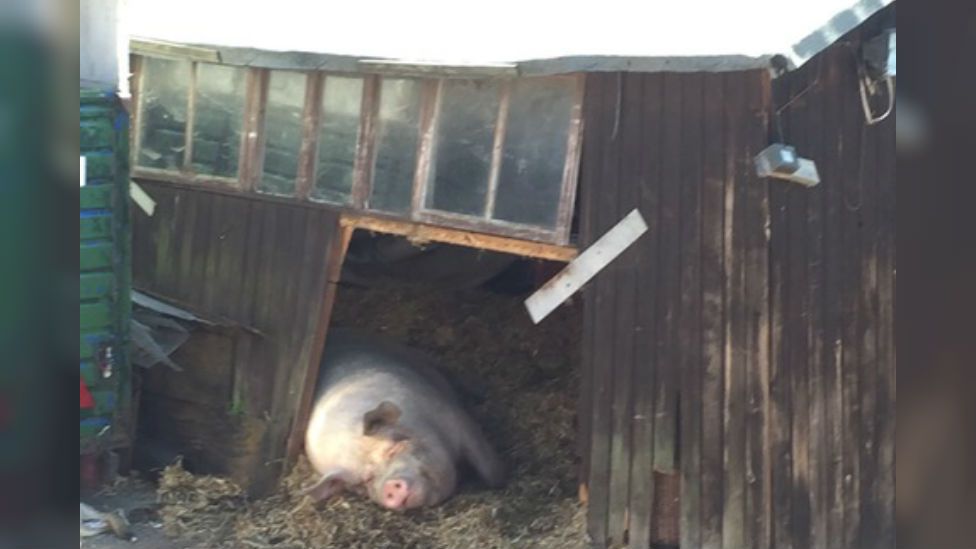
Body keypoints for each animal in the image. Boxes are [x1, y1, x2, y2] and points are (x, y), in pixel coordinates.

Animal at [302, 329, 506, 511]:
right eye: (366, 480)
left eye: (393, 449)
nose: (390, 488)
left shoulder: (455, 418)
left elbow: (490, 468)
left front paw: (501, 479)